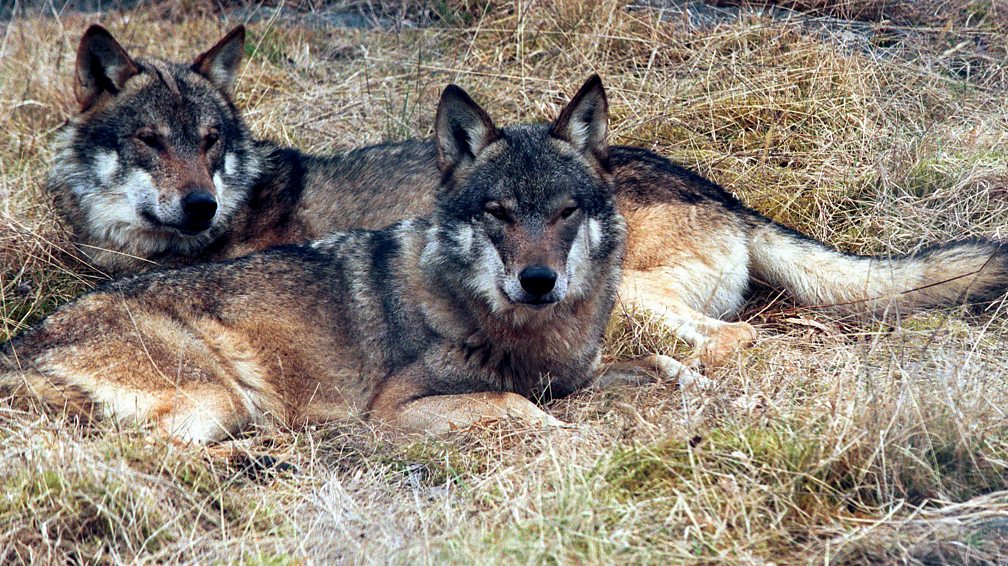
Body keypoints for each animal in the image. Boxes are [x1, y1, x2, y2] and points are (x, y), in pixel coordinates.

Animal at [1, 79, 628, 441]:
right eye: (498, 212)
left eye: (566, 211)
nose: (539, 280)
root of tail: (17, 349)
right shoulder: (392, 410)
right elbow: (518, 404)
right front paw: (569, 437)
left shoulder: (585, 371)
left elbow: (644, 367)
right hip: (215, 397)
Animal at [47, 26, 1008, 371]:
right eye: (151, 142)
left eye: (211, 141)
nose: (200, 205)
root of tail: (721, 190)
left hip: (631, 300)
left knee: (736, 339)